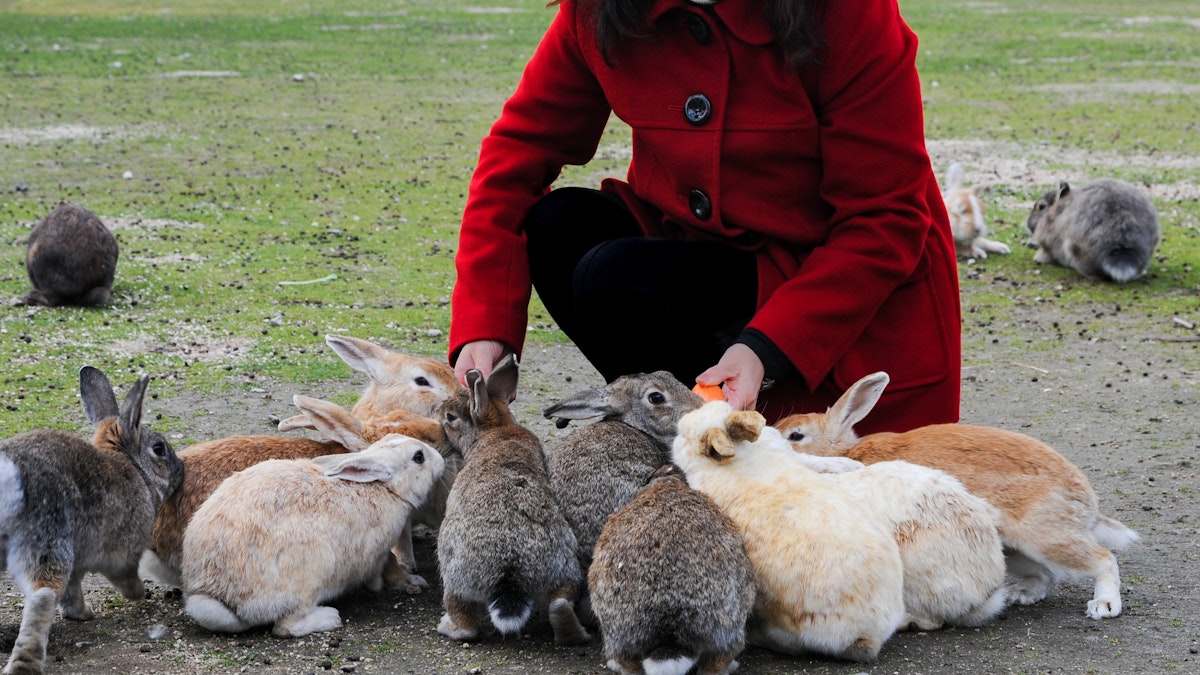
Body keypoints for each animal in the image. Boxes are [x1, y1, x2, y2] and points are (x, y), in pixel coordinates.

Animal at [1, 366, 182, 675]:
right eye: (159, 448)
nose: (182, 471)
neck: (133, 467)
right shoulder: (123, 553)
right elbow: (125, 577)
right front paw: (137, 593)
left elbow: (72, 591)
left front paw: (80, 614)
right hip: (48, 539)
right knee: (43, 597)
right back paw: (24, 666)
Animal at [180, 434, 444, 637]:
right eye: (418, 457)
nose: (441, 460)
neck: (386, 488)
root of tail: (213, 593)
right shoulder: (375, 554)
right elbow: (379, 572)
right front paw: (392, 585)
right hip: (311, 577)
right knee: (285, 626)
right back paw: (330, 617)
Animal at [435, 354, 590, 645]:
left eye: (451, 417)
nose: (438, 411)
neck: (497, 427)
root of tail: (510, 569)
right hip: (564, 566)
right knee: (561, 599)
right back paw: (573, 632)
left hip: (455, 575)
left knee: (465, 623)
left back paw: (448, 626)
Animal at [775, 371, 1141, 620]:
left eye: (796, 436)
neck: (846, 451)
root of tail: (1087, 503)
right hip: (1015, 549)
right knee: (1045, 575)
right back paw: (1021, 596)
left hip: (1046, 537)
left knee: (1103, 559)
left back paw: (1105, 605)